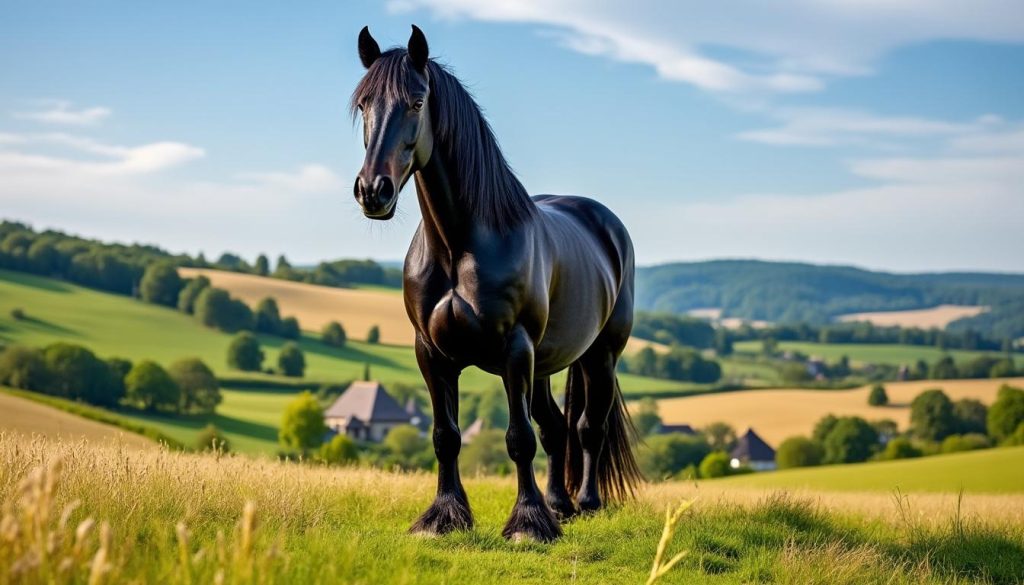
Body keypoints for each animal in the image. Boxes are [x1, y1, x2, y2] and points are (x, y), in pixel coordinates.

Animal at [350, 25, 641, 542]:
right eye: (364, 105)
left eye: (417, 102)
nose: (372, 191)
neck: (459, 244)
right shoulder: (432, 353)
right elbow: (445, 436)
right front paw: (444, 516)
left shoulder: (514, 350)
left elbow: (518, 438)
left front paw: (527, 524)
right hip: (546, 362)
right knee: (556, 427)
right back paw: (559, 503)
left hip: (600, 355)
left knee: (589, 428)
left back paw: (586, 503)